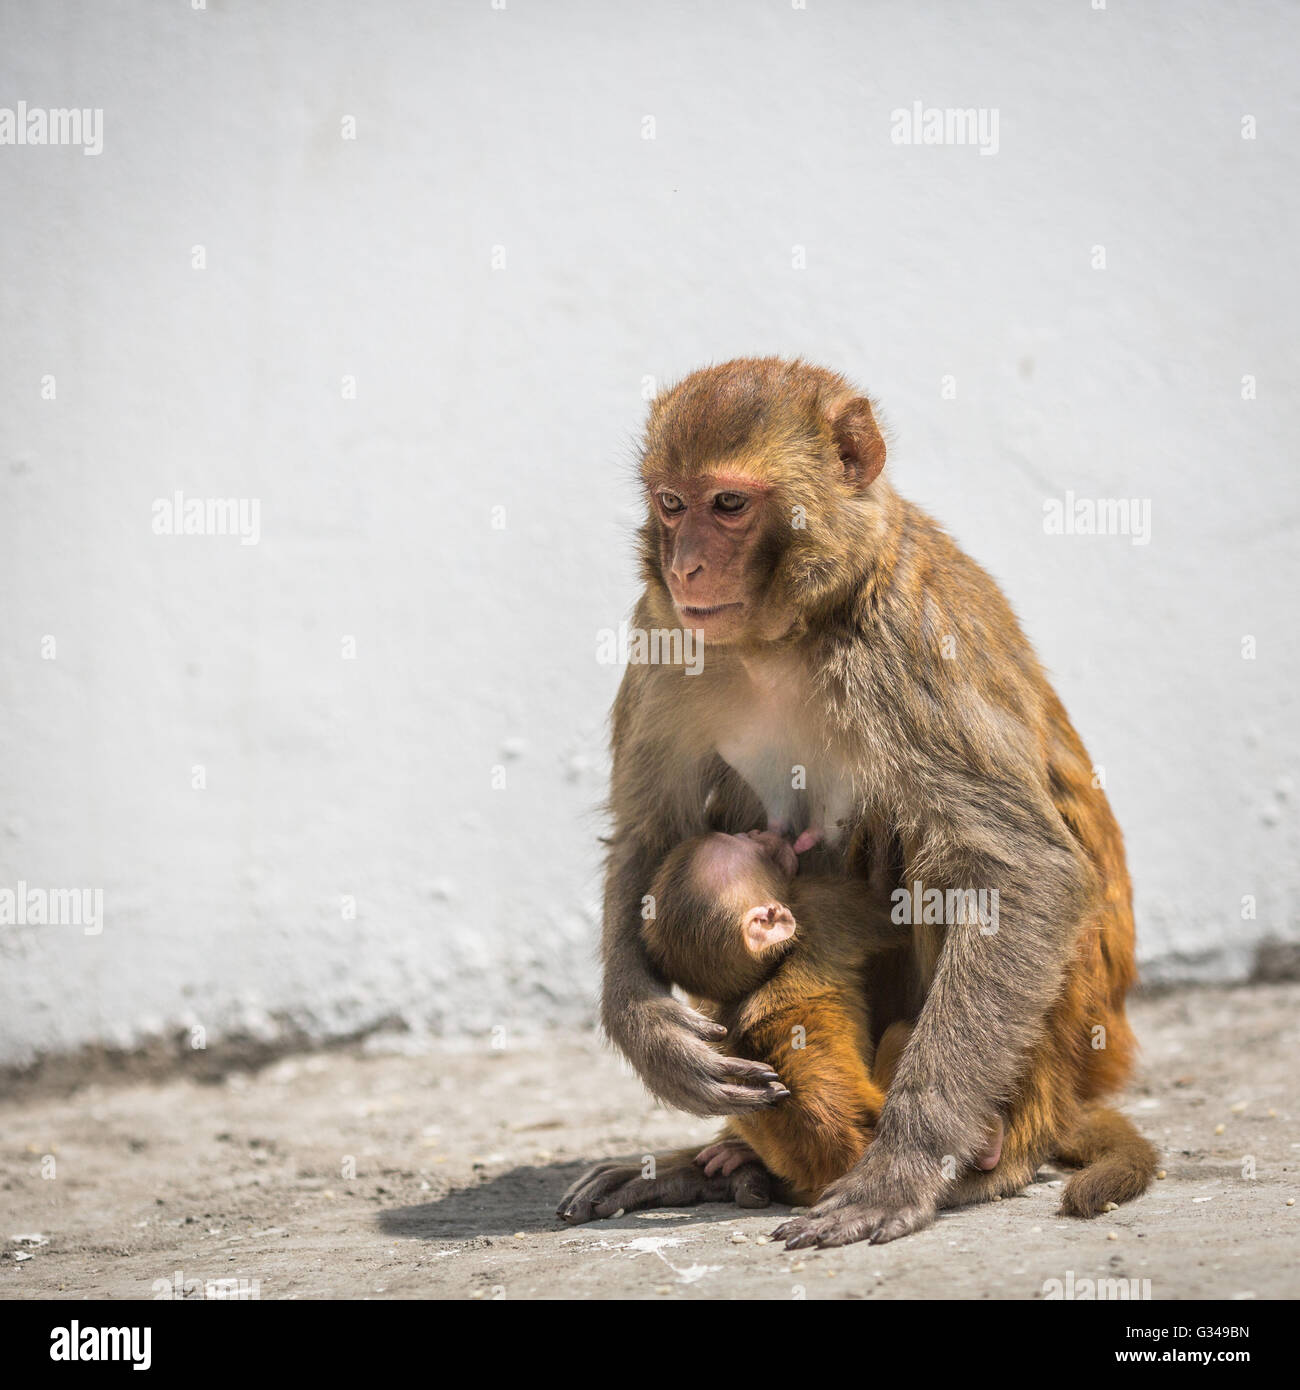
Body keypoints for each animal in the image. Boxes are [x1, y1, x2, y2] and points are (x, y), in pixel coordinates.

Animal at [558, 357, 1156, 1245]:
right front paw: (649, 1032)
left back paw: (989, 1158)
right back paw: (722, 1162)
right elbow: (650, 830)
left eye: (727, 505)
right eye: (671, 503)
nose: (686, 566)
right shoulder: (664, 634)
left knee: (932, 852)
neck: (787, 633)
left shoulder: (905, 647)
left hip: (1068, 1037)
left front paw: (906, 1162)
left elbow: (1022, 869)